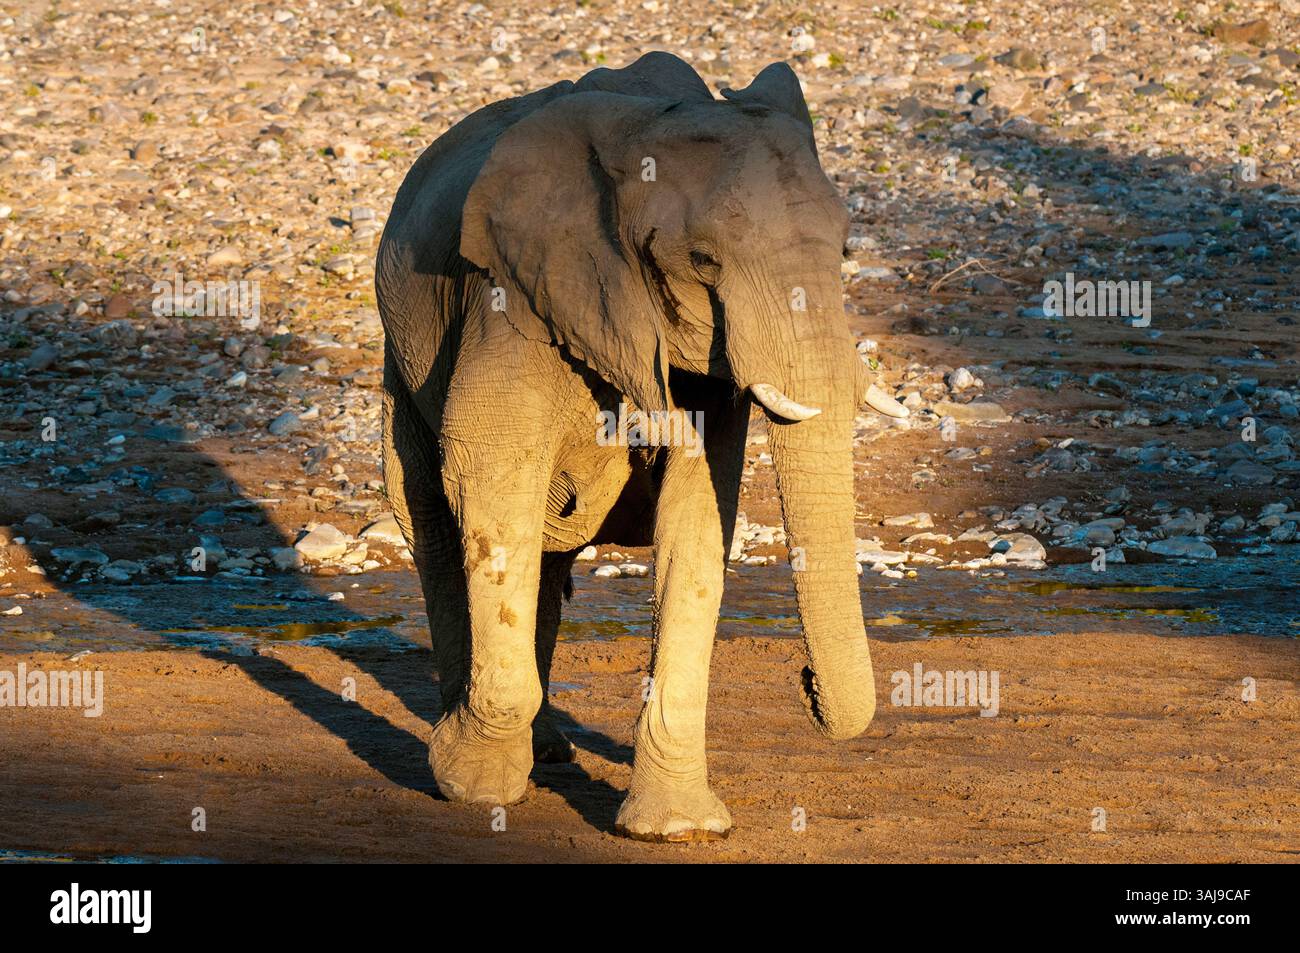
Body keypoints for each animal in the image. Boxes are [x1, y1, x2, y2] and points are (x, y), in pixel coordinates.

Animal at [375, 51, 908, 842]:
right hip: (401, 365)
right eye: (704, 260)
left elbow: (698, 517)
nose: (807, 685)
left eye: (845, 249)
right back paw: (475, 757)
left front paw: (678, 828)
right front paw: (473, 785)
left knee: (544, 551)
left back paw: (547, 753)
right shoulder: (512, 302)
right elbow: (490, 479)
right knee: (435, 523)